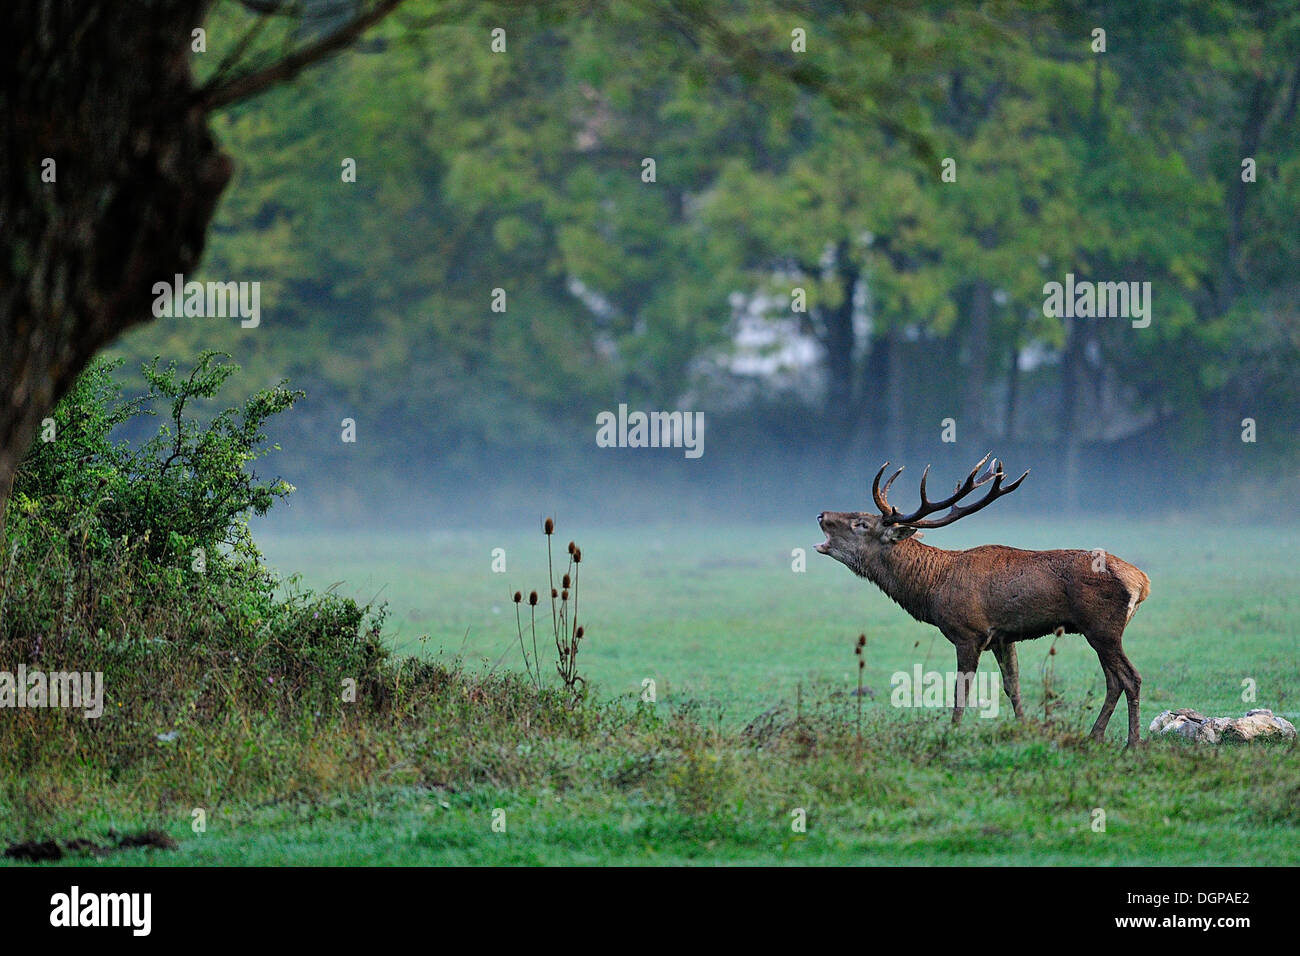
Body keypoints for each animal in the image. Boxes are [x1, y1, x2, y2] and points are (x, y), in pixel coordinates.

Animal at [815, 453, 1150, 746]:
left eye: (861, 523)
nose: (821, 514)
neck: (933, 587)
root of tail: (1142, 582)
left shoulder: (968, 632)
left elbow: (960, 690)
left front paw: (951, 734)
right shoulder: (1003, 636)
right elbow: (1012, 686)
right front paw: (1024, 730)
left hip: (1102, 627)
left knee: (1130, 678)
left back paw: (1132, 744)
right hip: (1100, 631)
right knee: (1113, 681)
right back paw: (1095, 737)